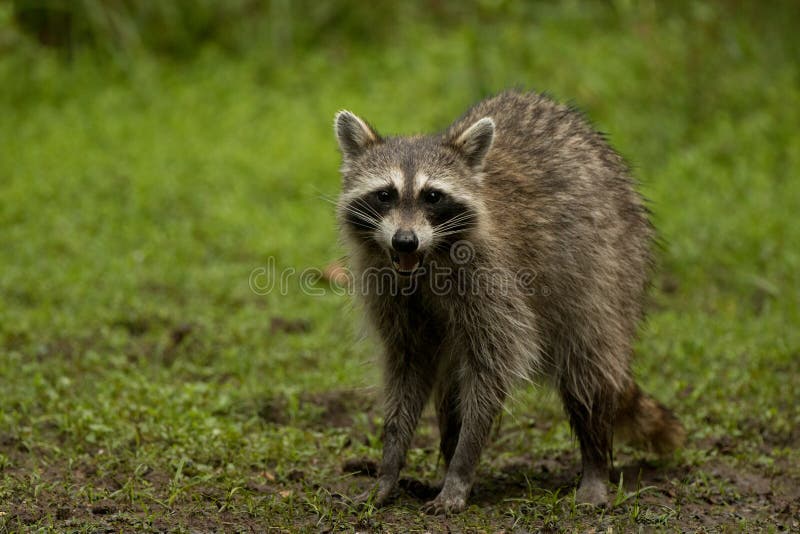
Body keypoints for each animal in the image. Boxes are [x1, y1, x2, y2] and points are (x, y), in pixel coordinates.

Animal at [334, 90, 685, 513]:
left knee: (588, 366)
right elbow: (407, 367)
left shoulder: (493, 279)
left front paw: (461, 469)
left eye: (432, 196)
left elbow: (494, 365)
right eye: (384, 194)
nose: (405, 241)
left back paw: (595, 463)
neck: (425, 260)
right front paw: (390, 465)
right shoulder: (389, 289)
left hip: (610, 268)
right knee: (450, 390)